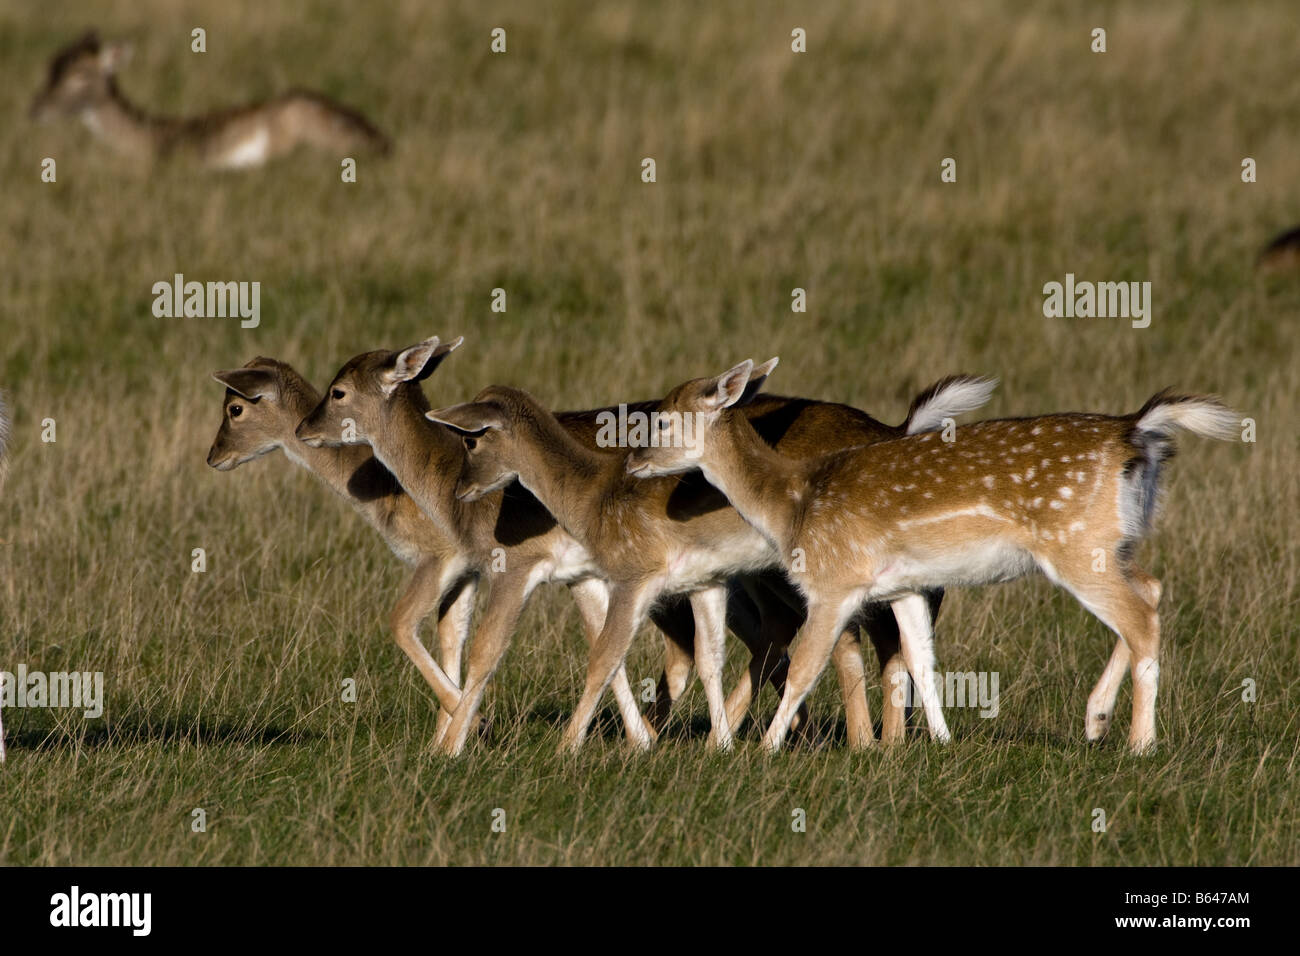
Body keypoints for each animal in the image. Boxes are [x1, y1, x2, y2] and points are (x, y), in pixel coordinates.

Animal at [629, 358, 1237, 754]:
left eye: (664, 420)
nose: (633, 461)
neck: (792, 504)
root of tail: (1137, 431)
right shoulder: (903, 584)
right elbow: (922, 659)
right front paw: (940, 744)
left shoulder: (834, 580)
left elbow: (805, 665)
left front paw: (765, 750)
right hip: (1114, 543)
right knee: (1152, 590)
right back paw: (1095, 719)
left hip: (1076, 543)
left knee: (1140, 617)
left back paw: (1139, 744)